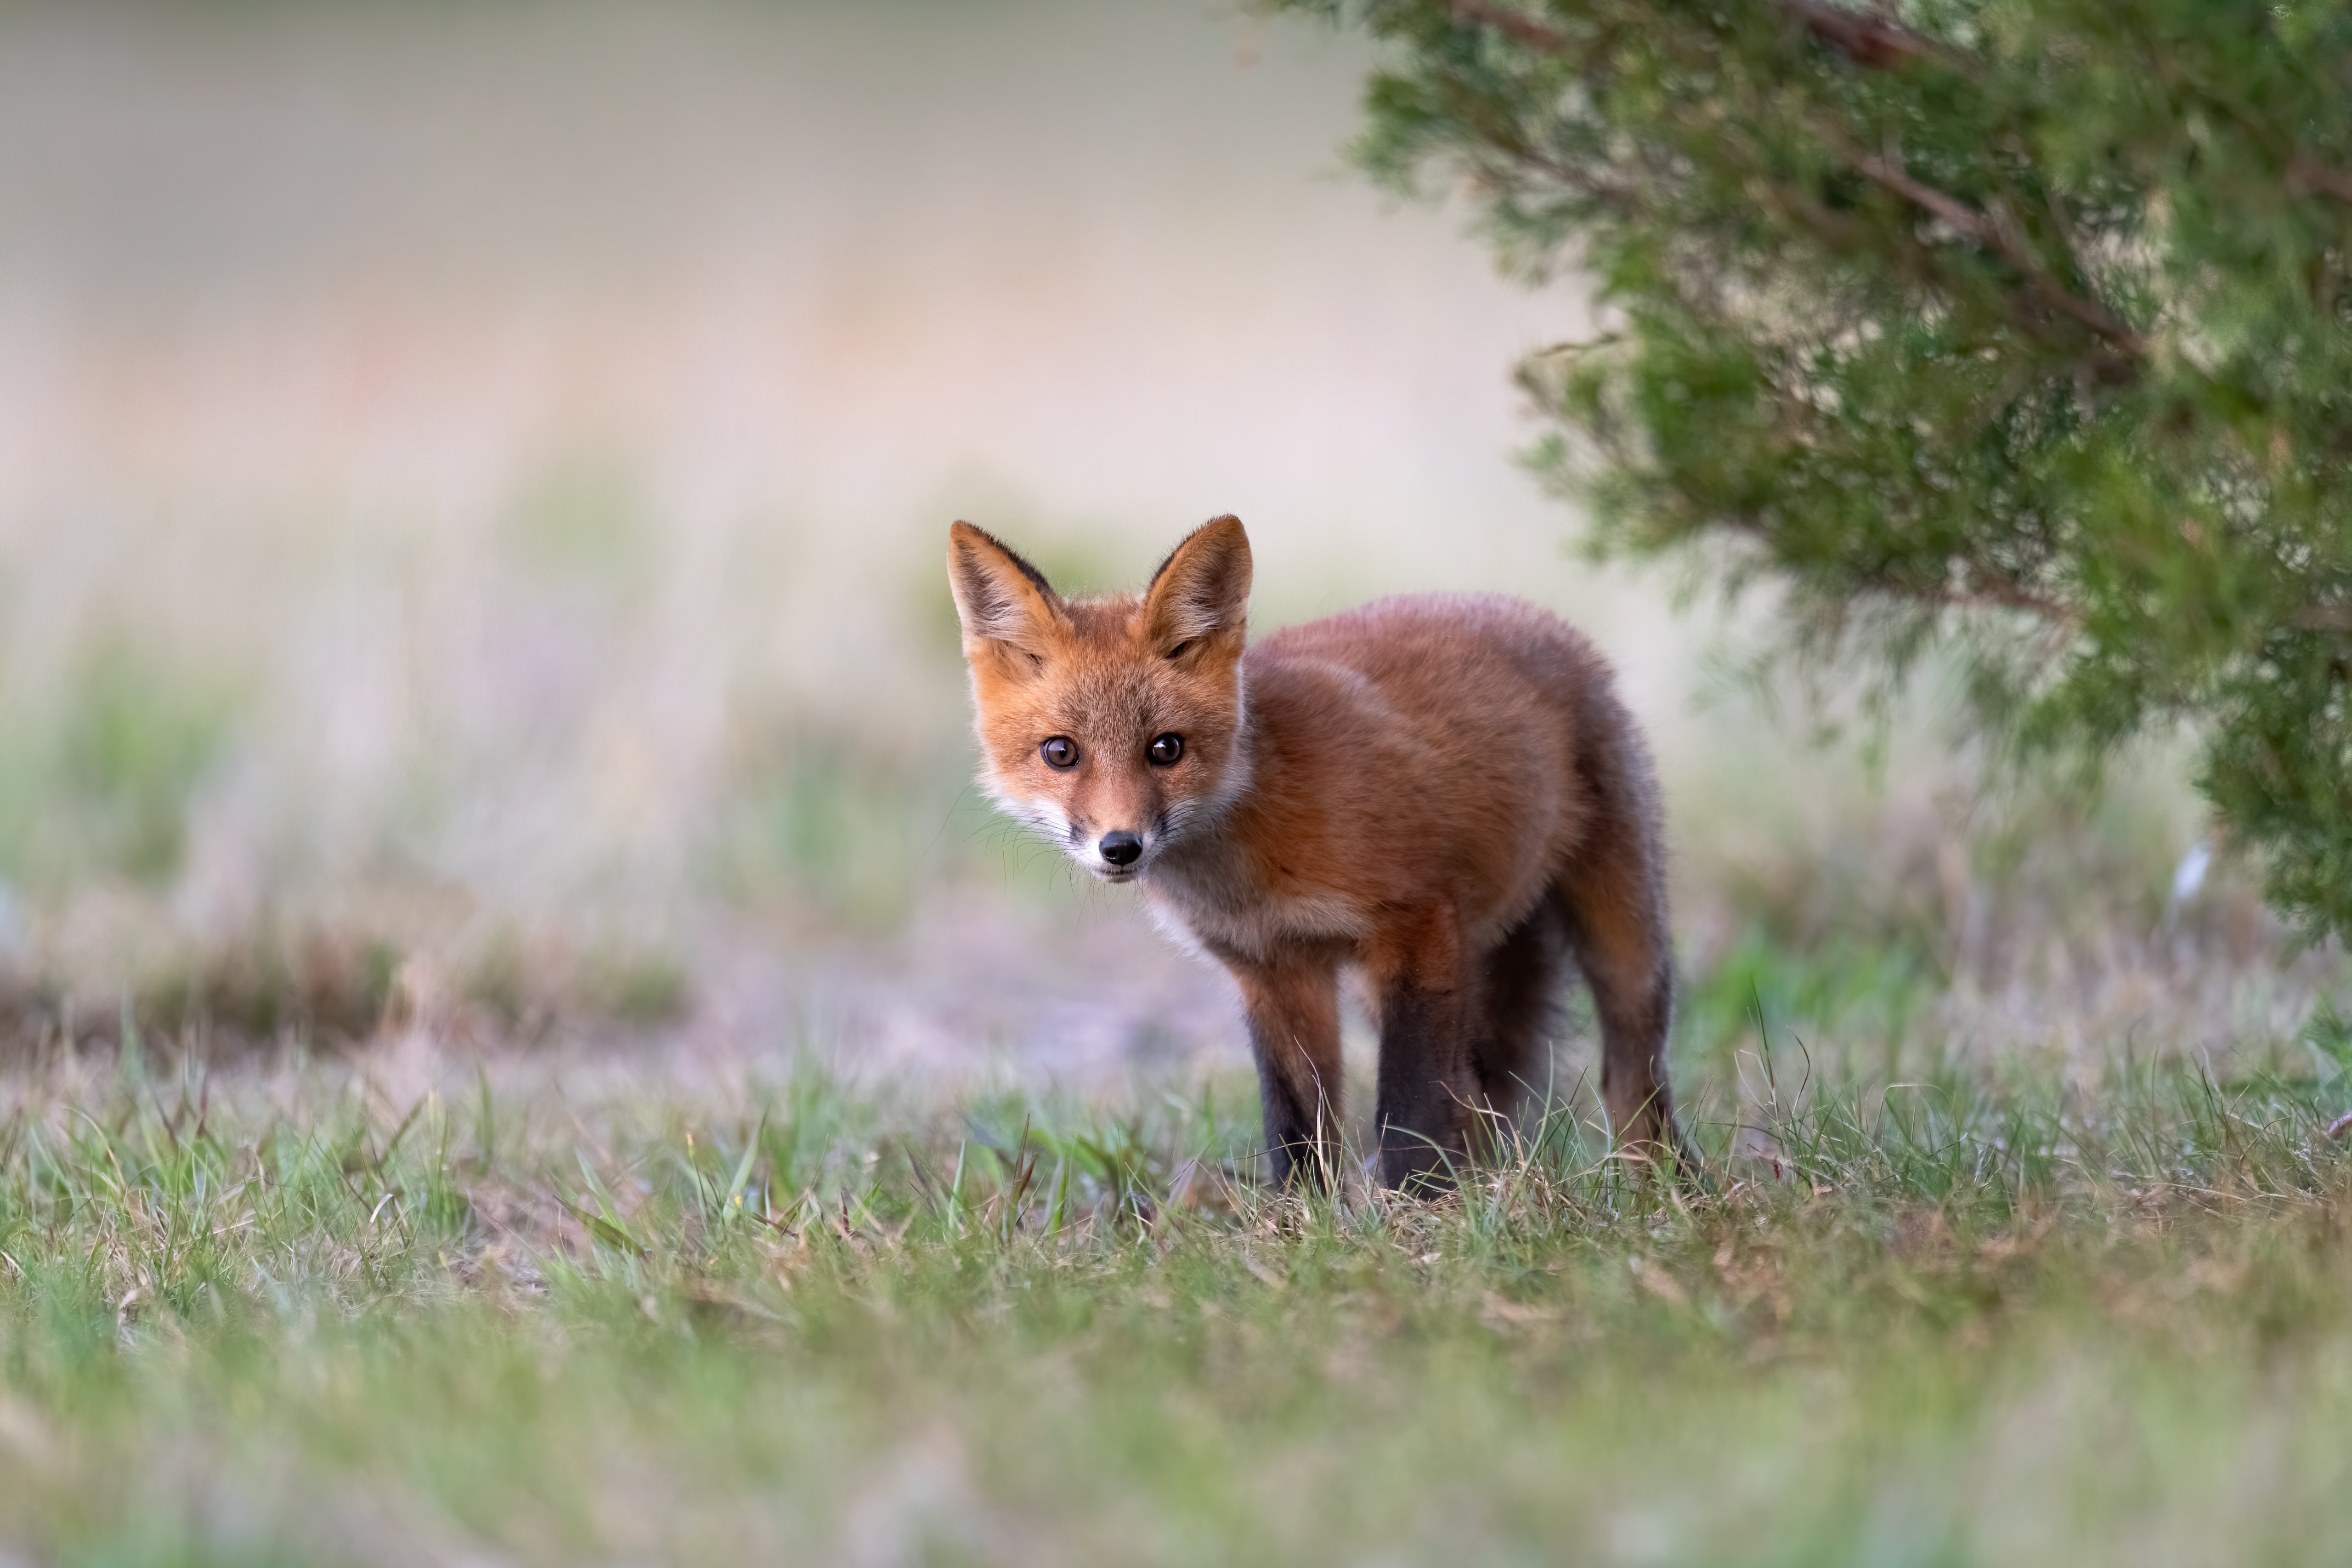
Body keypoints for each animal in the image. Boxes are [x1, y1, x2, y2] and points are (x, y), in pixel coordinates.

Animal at [947, 514, 1682, 1189]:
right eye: (1060, 753)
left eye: (1166, 748)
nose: (1120, 847)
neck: (1250, 866)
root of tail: (1532, 614)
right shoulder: (1274, 970)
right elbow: (1297, 1124)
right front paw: (1304, 1221)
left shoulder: (1417, 926)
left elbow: (1408, 1109)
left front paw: (1414, 1212)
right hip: (1407, 987)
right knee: (1476, 1095)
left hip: (1619, 940)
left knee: (1631, 1074)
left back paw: (1657, 1184)